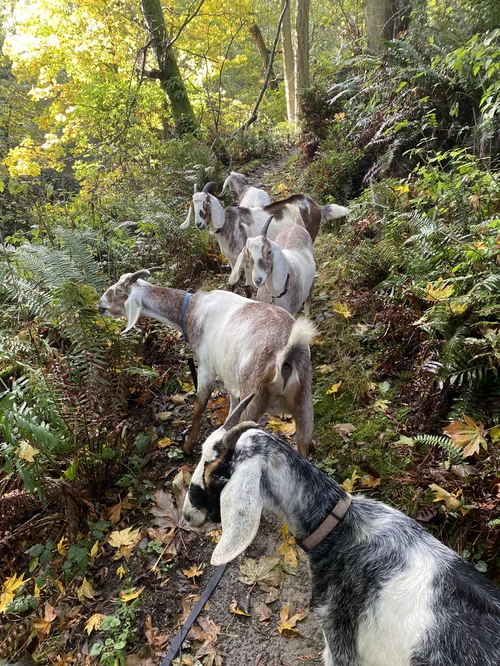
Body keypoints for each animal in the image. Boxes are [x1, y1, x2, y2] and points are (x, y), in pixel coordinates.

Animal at [97, 269, 316, 457]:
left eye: (119, 291)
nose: (100, 305)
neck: (189, 310)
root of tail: (287, 353)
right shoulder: (230, 376)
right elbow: (231, 403)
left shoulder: (206, 367)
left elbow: (199, 404)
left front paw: (188, 446)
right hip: (304, 401)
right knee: (305, 444)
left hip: (254, 396)